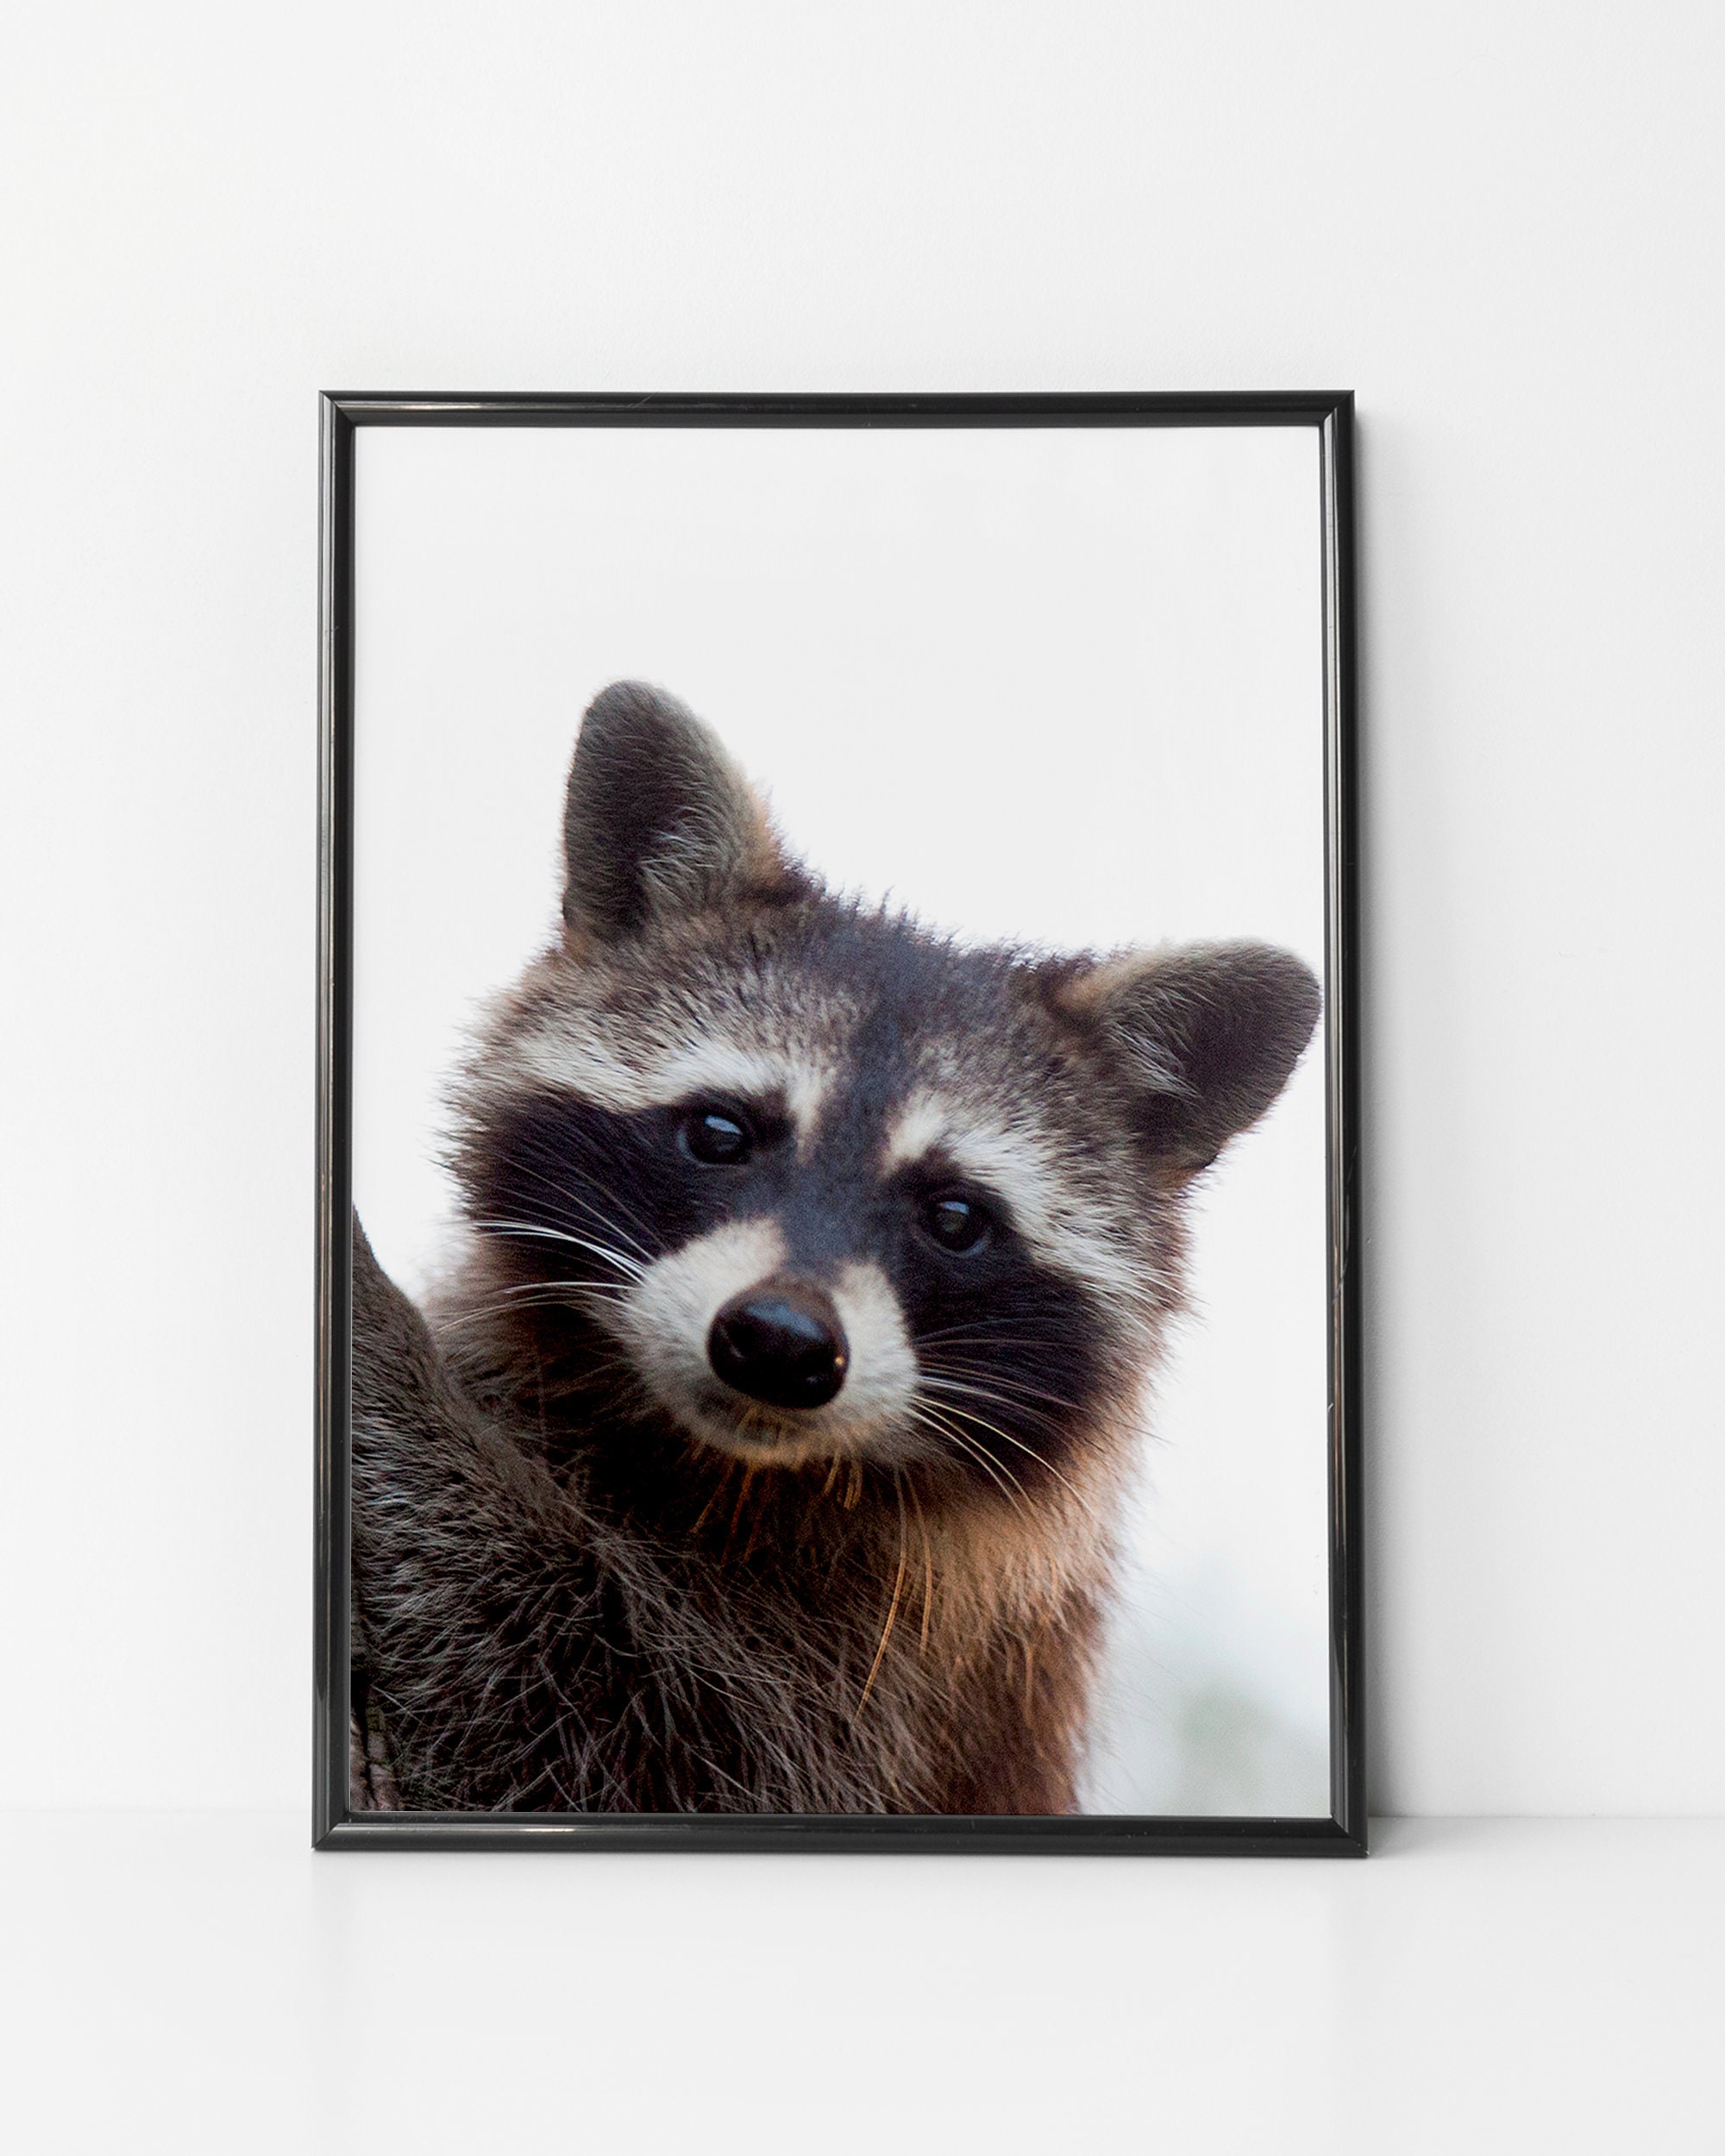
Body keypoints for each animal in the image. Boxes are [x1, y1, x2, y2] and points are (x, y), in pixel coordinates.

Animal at [349, 680, 1320, 1815]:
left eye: (954, 1218)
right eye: (719, 1132)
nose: (778, 1341)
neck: (716, 1460)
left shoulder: (906, 1678)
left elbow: (582, 1708)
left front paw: (378, 1345)